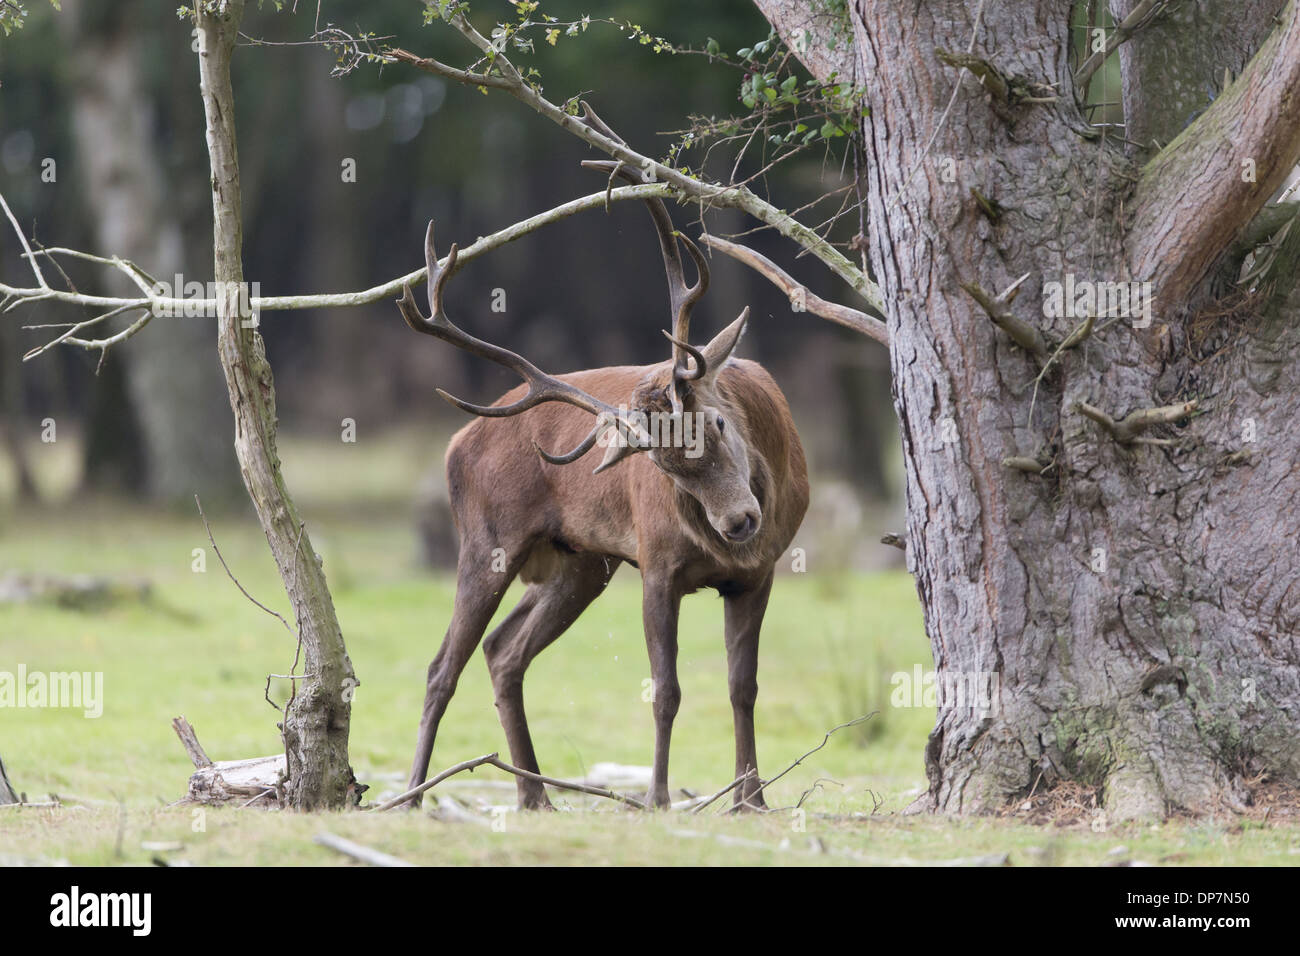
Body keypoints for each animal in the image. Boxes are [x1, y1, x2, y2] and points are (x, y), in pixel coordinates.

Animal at [395, 165, 809, 811]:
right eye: (663, 467)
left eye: (718, 423)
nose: (739, 521)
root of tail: (456, 443)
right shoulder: (658, 563)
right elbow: (665, 688)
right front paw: (658, 798)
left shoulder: (757, 573)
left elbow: (743, 686)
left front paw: (752, 799)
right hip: (488, 538)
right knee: (443, 666)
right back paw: (413, 794)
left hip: (582, 562)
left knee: (503, 651)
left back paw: (536, 796)